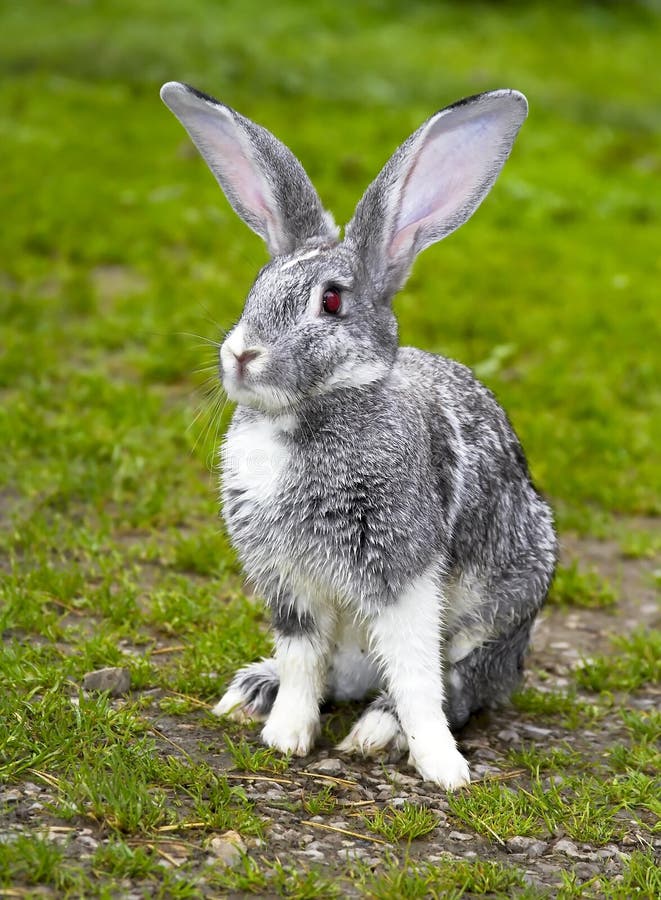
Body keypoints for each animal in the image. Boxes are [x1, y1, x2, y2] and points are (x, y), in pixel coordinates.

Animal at [160, 82, 557, 789]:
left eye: (333, 302)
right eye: (256, 287)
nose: (241, 355)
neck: (301, 417)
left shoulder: (403, 574)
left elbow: (418, 678)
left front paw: (443, 769)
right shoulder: (288, 586)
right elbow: (302, 660)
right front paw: (285, 737)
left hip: (499, 615)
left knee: (457, 682)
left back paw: (380, 728)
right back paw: (253, 691)